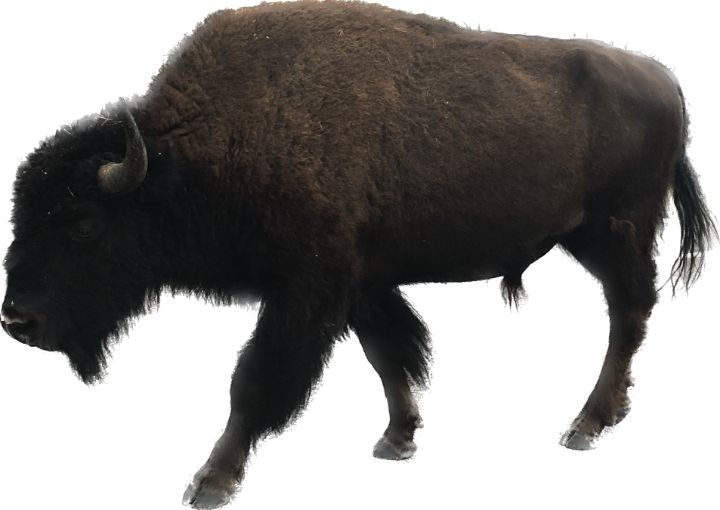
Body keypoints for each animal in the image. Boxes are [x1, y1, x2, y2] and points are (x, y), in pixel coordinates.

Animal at [1, 2, 716, 509]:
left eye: (84, 225)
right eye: (21, 215)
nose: (17, 321)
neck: (189, 159)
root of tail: (666, 80)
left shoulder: (307, 290)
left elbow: (255, 382)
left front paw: (210, 482)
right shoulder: (360, 284)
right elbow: (388, 354)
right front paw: (397, 440)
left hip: (616, 236)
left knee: (627, 317)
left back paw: (585, 425)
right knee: (629, 317)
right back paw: (598, 419)